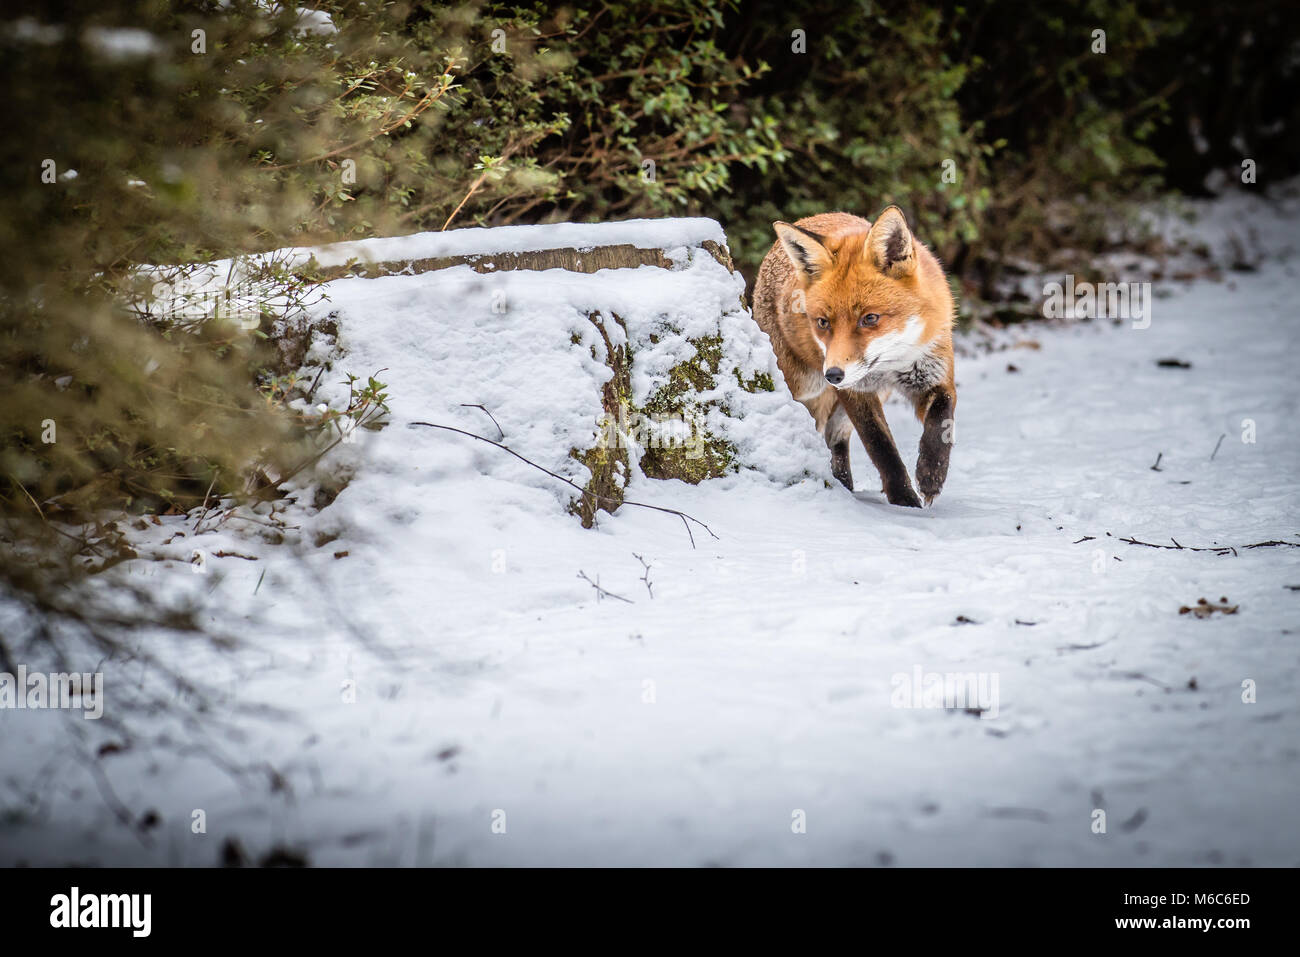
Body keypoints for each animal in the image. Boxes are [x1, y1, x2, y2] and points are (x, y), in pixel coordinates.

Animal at [751, 207, 956, 507]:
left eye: (869, 318)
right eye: (823, 323)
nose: (833, 375)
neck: (892, 362)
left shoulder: (932, 370)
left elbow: (943, 419)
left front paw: (932, 475)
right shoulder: (856, 391)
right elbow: (880, 446)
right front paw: (905, 501)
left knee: (834, 435)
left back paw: (843, 484)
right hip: (802, 385)